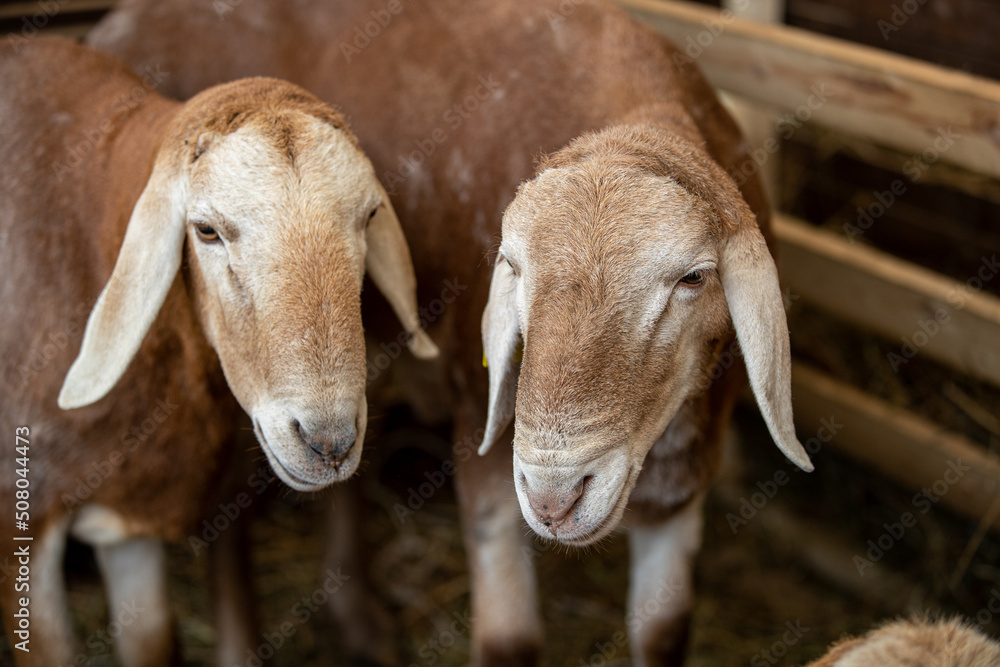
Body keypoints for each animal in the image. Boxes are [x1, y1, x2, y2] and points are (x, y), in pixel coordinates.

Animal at [0, 36, 433, 667]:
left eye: (370, 214)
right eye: (205, 230)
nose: (328, 442)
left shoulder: (130, 519)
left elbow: (155, 646)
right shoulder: (21, 527)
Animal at [89, 0, 811, 664]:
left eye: (694, 277)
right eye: (513, 267)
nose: (554, 497)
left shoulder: (679, 500)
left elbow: (663, 639)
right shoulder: (486, 451)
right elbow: (509, 642)